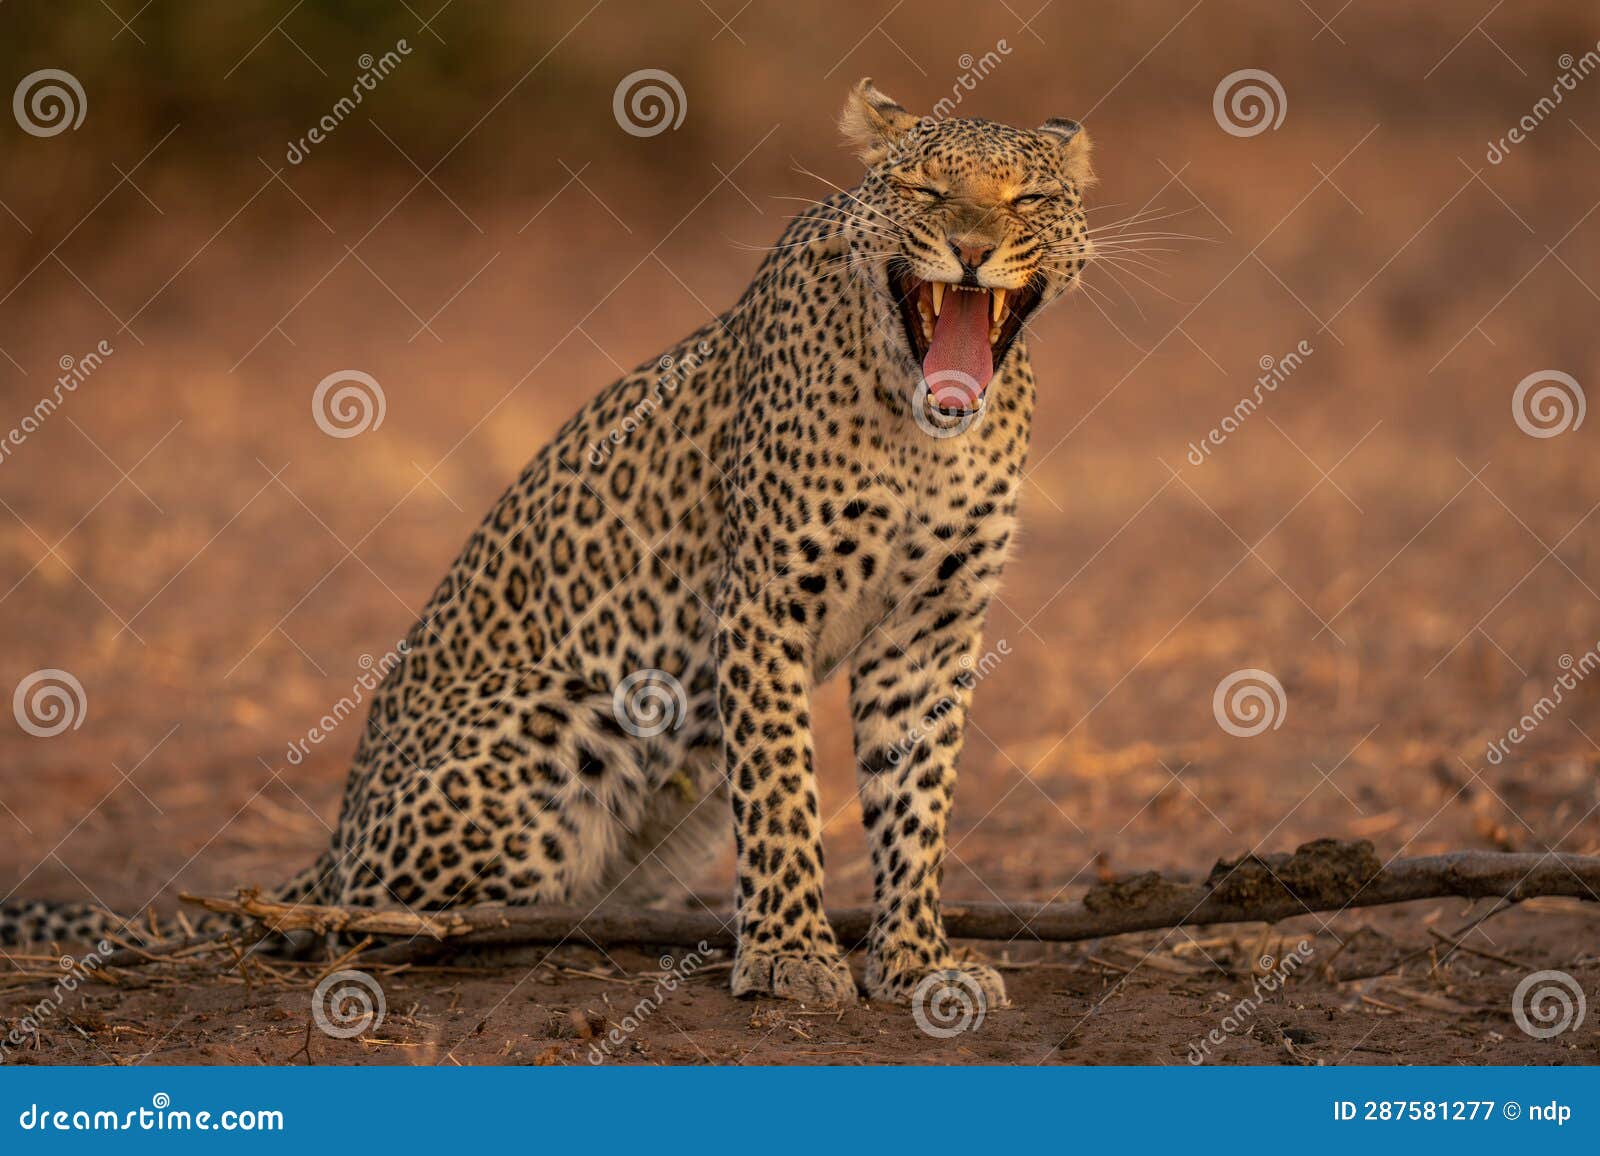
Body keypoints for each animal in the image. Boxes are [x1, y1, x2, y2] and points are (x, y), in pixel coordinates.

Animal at [2, 80, 1095, 1009]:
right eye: (926, 188)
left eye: (1029, 198)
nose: (968, 249)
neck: (922, 429)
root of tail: (337, 838)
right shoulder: (763, 604)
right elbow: (784, 789)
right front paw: (791, 956)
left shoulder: (932, 630)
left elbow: (916, 800)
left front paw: (915, 961)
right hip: (566, 721)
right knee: (352, 920)